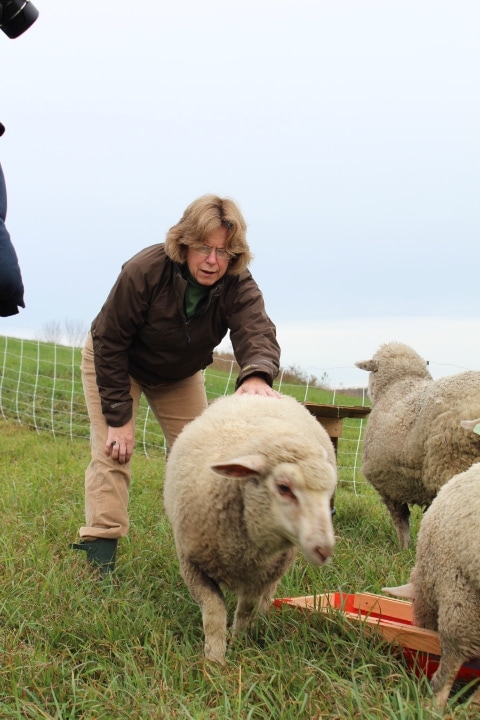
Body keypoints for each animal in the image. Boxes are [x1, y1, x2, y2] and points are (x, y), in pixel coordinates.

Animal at [163, 393, 337, 664]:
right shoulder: (193, 567)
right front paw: (215, 659)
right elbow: (214, 613)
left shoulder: (261, 576)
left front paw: (240, 643)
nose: (324, 549)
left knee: (266, 597)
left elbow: (246, 610)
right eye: (284, 487)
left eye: (330, 493)